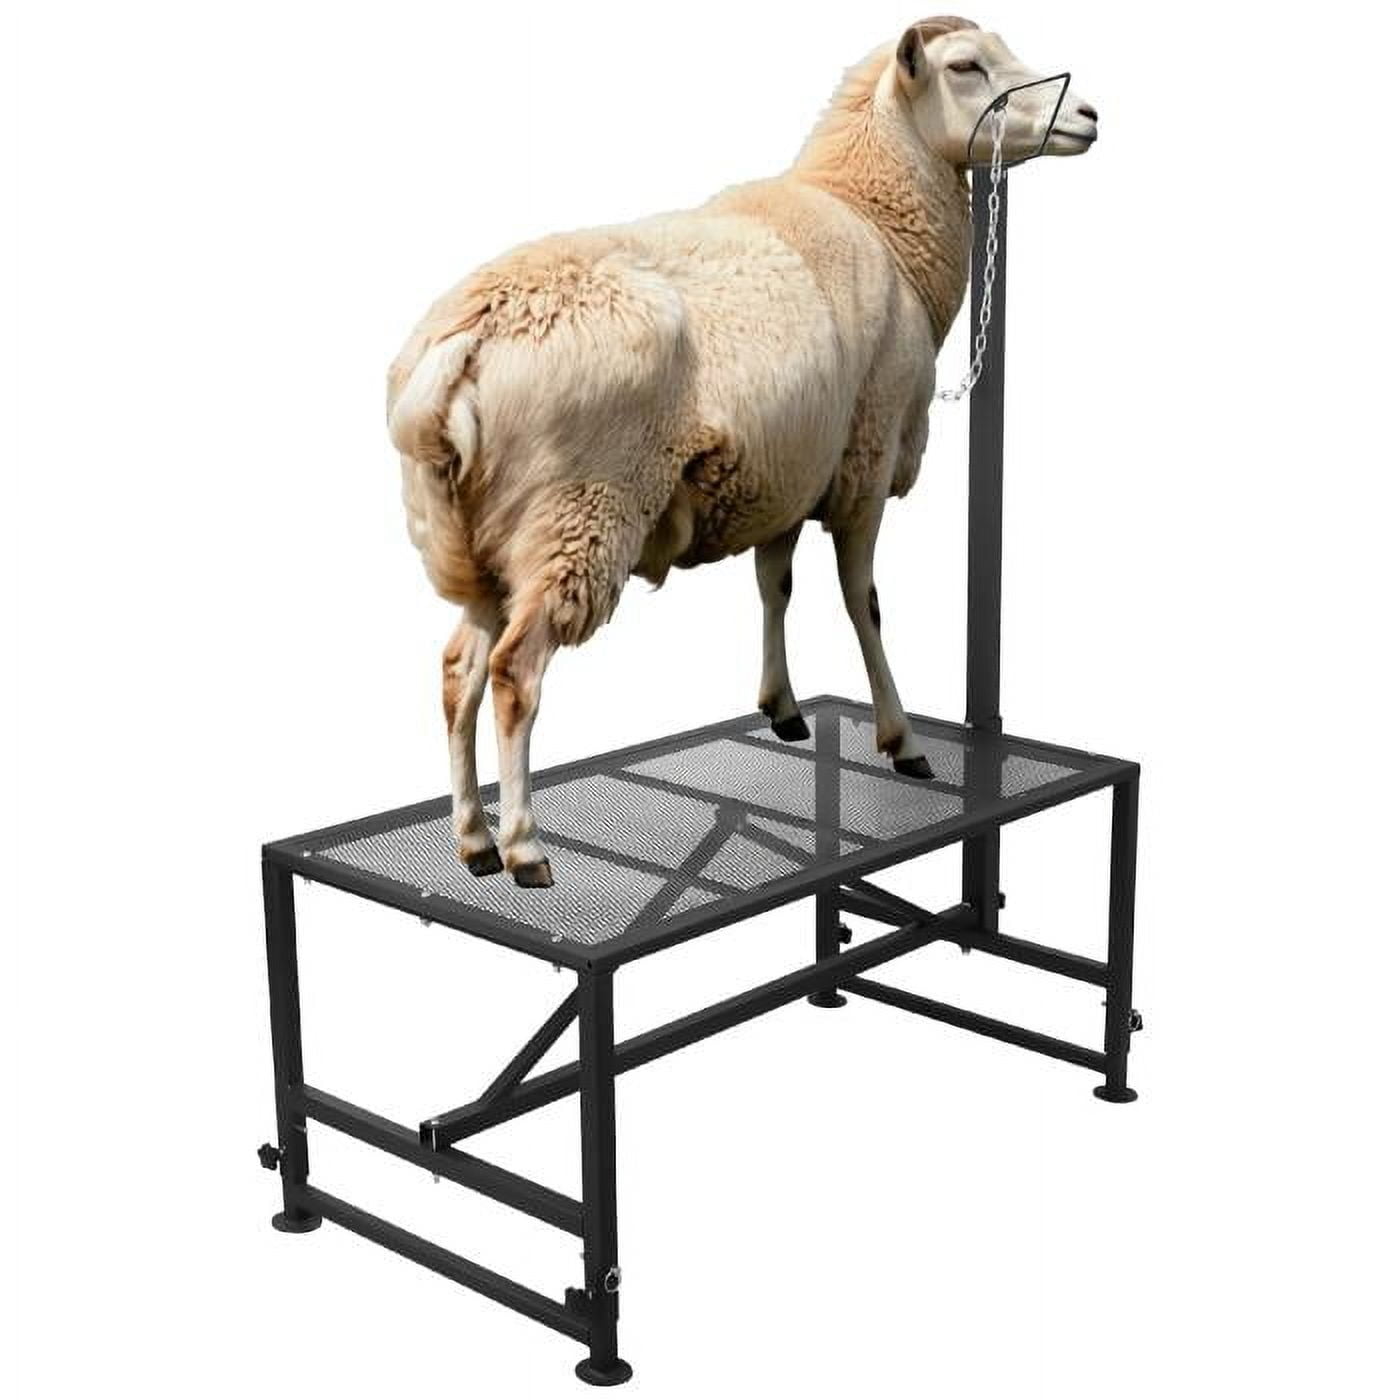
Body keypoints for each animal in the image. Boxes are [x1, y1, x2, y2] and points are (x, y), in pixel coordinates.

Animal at [388, 17, 1098, 886]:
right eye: (966, 66)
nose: (1088, 114)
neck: (874, 213)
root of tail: (467, 343)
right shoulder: (863, 462)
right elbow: (864, 602)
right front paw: (902, 739)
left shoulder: (787, 472)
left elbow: (775, 585)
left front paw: (783, 707)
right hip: (577, 515)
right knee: (515, 675)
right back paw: (525, 846)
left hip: (486, 536)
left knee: (459, 670)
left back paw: (473, 840)